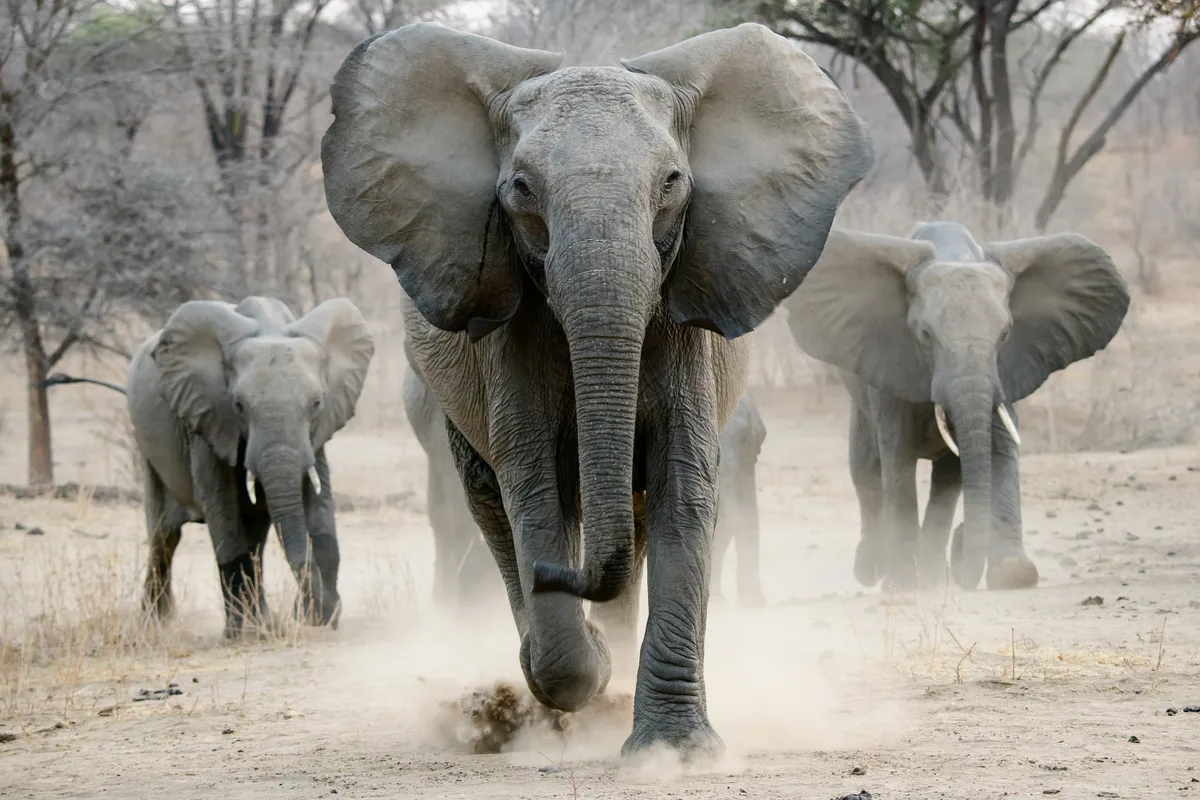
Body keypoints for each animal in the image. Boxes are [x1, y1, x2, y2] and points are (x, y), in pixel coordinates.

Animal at [127, 296, 374, 636]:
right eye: (239, 406)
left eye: (316, 404)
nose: (303, 612)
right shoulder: (206, 416)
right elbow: (222, 510)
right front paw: (240, 634)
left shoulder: (318, 433)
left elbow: (318, 502)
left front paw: (322, 618)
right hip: (149, 450)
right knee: (164, 536)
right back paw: (158, 624)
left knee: (255, 537)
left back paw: (263, 621)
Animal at [785, 221, 1129, 591]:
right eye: (925, 335)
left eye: (1005, 335)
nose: (963, 542)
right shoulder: (891, 365)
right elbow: (898, 456)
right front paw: (903, 583)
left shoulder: (1006, 370)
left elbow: (983, 455)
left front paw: (1008, 574)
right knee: (866, 468)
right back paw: (872, 570)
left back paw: (938, 575)